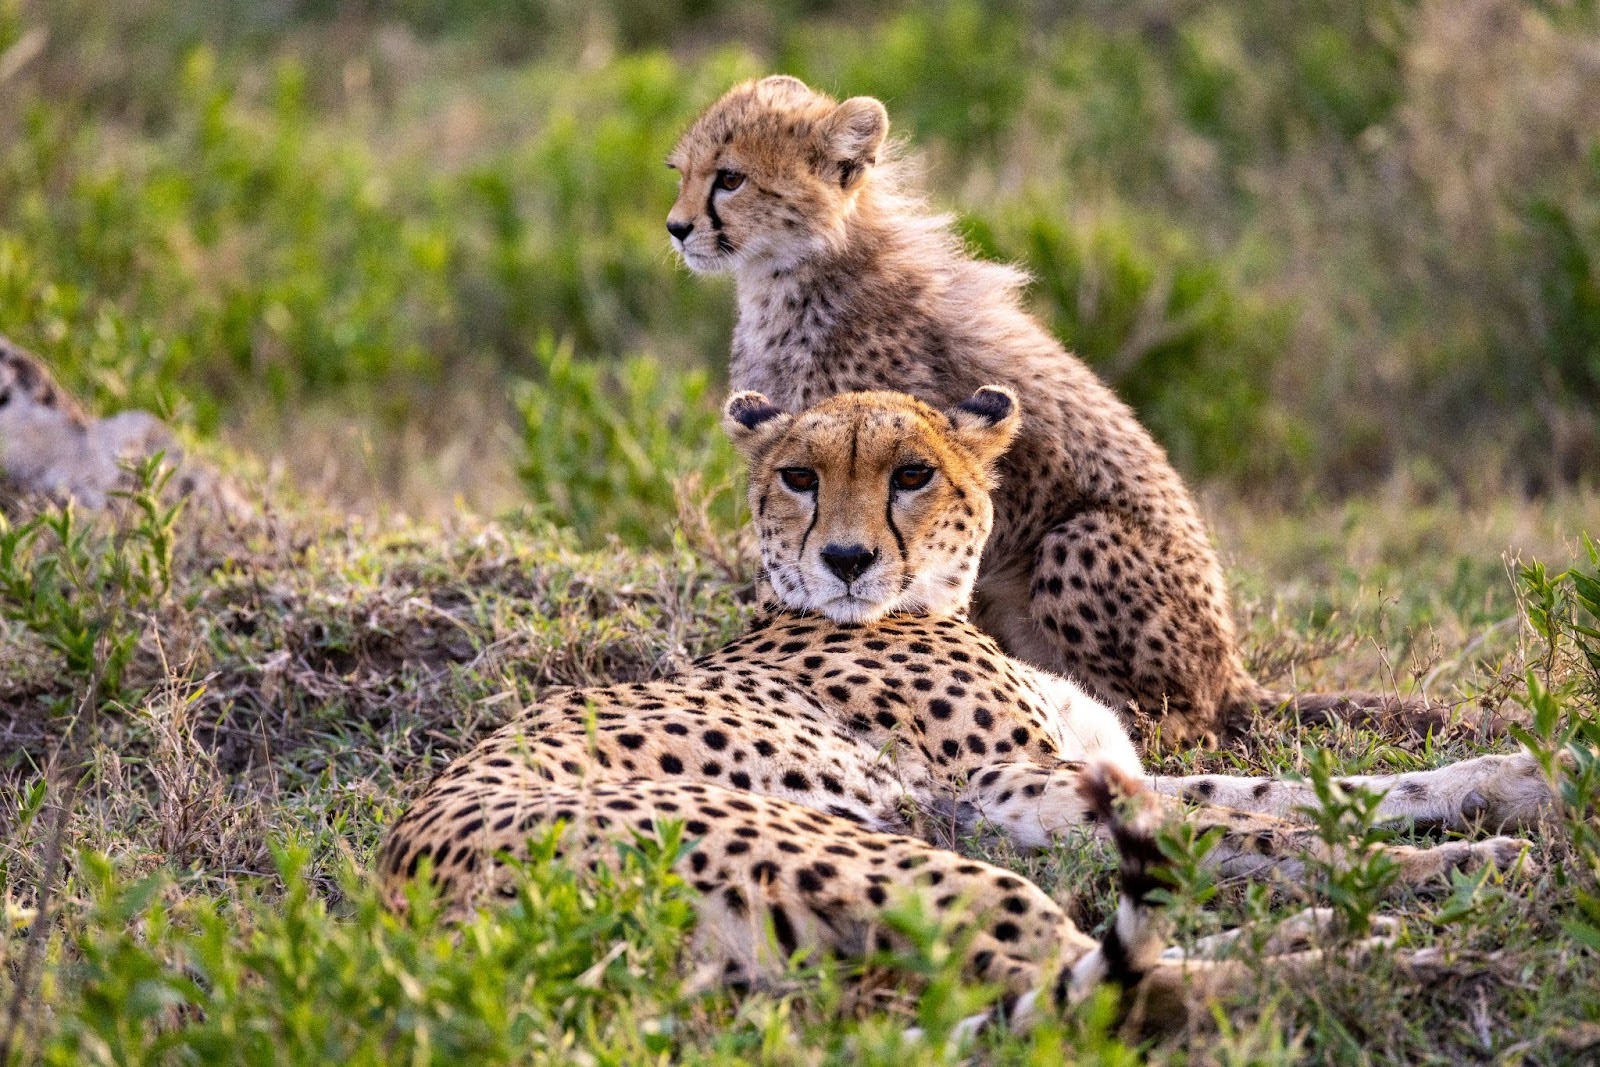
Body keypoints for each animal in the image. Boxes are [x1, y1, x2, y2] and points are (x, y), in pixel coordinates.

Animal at [380, 387, 1549, 1027]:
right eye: (798, 476)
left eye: (911, 473)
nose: (847, 558)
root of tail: (424, 909)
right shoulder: (1006, 792)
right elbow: (1244, 824)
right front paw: (1453, 865)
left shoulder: (1088, 765)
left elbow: (1295, 789)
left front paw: (1527, 780)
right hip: (885, 853)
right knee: (1106, 990)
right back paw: (1397, 953)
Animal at [665, 74, 1470, 748]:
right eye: (683, 173)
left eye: (730, 178)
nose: (676, 227)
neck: (796, 273)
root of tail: (1232, 672)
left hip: (1077, 541)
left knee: (1186, 723)